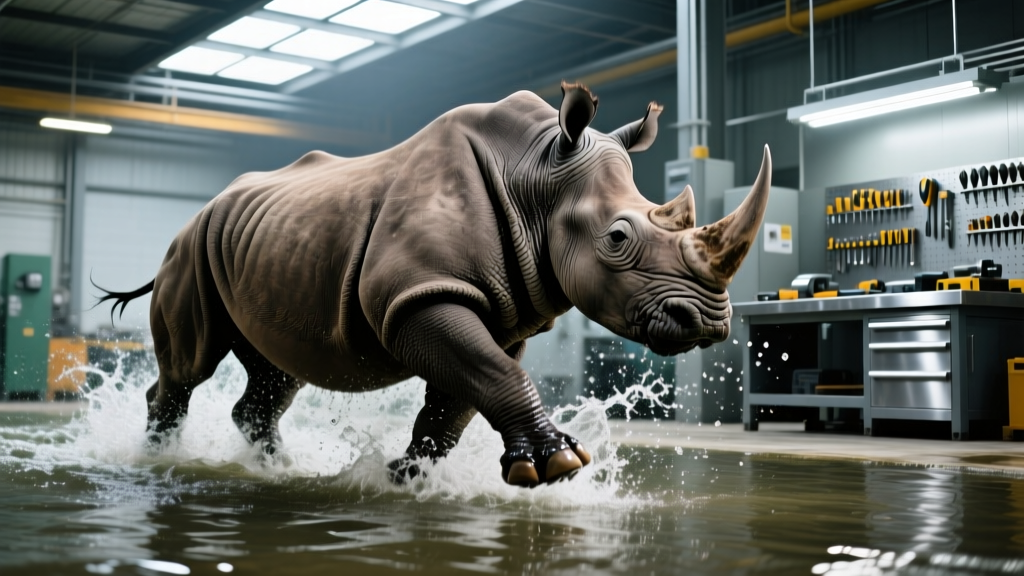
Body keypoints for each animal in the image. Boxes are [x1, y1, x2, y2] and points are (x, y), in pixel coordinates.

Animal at [98, 82, 771, 487]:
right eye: (617, 239)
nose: (709, 321)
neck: (536, 174)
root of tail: (200, 212)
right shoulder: (417, 296)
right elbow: (492, 376)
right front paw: (558, 464)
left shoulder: (498, 312)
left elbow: (463, 396)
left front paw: (408, 478)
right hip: (191, 248)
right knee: (192, 365)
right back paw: (159, 458)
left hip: (260, 244)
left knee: (274, 372)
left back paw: (277, 468)